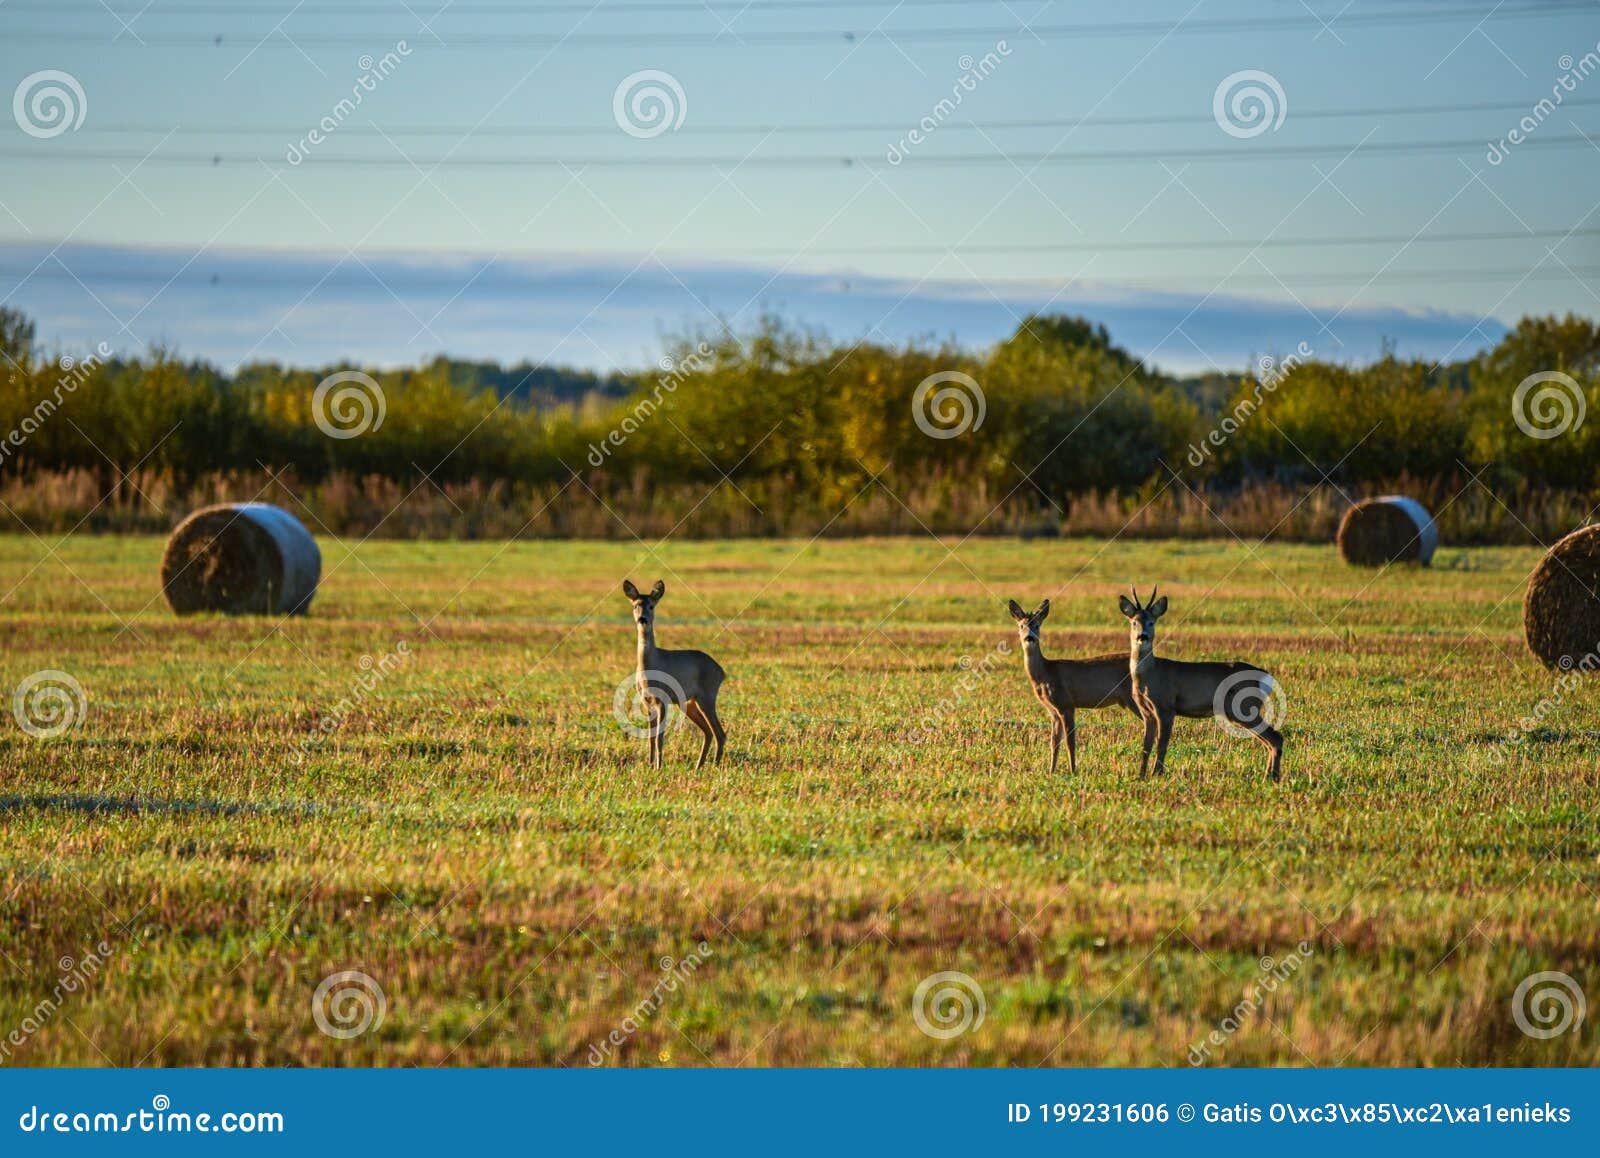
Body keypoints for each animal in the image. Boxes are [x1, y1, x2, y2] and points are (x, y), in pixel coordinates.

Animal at [623, 579, 727, 770]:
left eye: (651, 606)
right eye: (635, 605)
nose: (643, 619)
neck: (650, 665)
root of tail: (722, 672)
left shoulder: (662, 700)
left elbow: (659, 738)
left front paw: (658, 767)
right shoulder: (646, 701)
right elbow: (651, 738)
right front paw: (649, 765)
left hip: (707, 697)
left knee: (720, 732)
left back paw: (715, 766)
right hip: (689, 703)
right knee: (708, 732)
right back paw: (699, 766)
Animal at [1006, 598, 1139, 775]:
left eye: (1037, 625)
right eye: (1022, 625)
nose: (1029, 638)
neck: (1046, 672)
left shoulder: (1066, 704)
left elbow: (1070, 742)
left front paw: (1073, 771)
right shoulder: (1053, 711)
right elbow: (1054, 743)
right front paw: (1051, 771)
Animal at [1118, 586, 1283, 781]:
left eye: (1151, 622)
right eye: (1134, 622)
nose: (1142, 636)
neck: (1149, 675)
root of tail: (1266, 676)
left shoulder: (1166, 706)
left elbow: (1162, 743)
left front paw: (1157, 773)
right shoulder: (1146, 710)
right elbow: (1146, 745)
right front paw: (1140, 776)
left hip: (1245, 707)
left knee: (1276, 737)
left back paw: (1272, 777)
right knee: (1269, 740)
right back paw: (1269, 776)